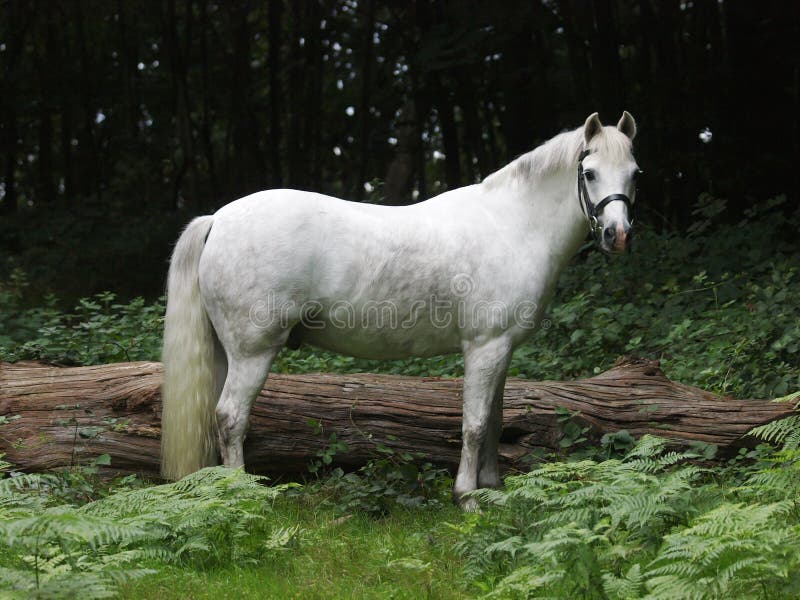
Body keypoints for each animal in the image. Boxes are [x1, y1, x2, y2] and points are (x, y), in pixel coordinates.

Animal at [160, 111, 640, 509]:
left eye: (635, 173)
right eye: (589, 173)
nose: (617, 235)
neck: (512, 225)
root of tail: (218, 219)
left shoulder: (501, 352)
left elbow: (494, 423)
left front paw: (493, 490)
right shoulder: (484, 348)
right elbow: (474, 425)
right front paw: (468, 498)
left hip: (229, 353)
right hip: (253, 352)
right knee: (230, 417)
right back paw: (242, 496)